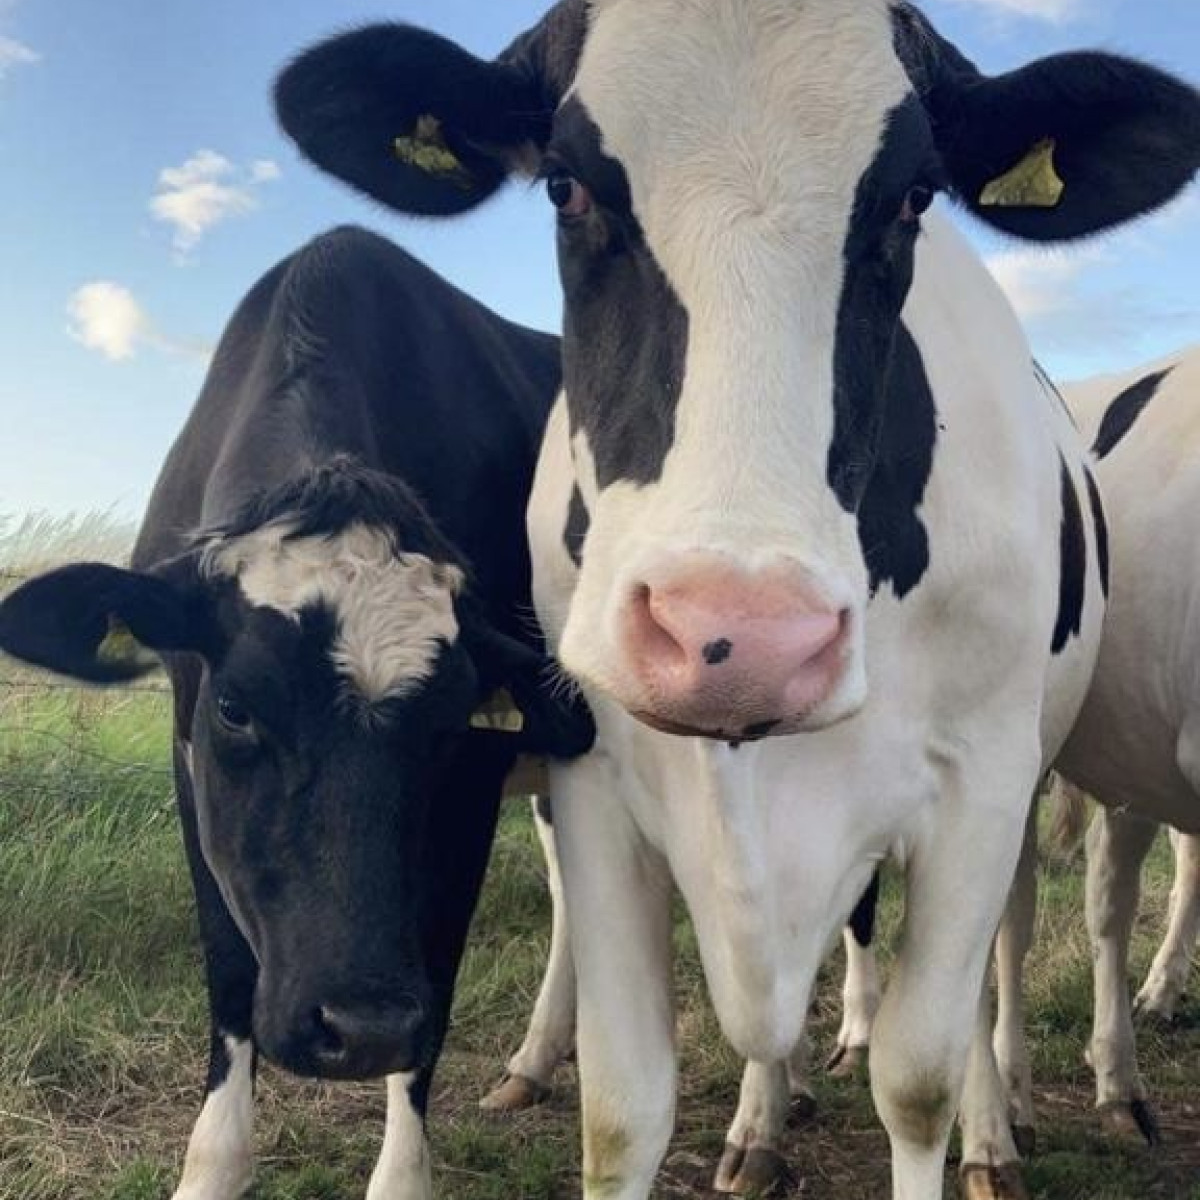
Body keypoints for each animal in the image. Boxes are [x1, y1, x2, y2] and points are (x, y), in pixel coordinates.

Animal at [0, 225, 594, 1200]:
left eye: (450, 723)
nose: (361, 1026)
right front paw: (211, 1168)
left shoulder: (469, 795)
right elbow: (227, 978)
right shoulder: (191, 768)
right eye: (236, 707)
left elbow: (435, 989)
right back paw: (533, 1064)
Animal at [273, 4, 1200, 1198]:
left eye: (914, 196)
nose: (742, 638)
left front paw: (959, 1117)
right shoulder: (593, 782)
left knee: (1032, 934)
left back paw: (1007, 1125)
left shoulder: (984, 788)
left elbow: (919, 1080)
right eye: (566, 185)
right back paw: (766, 1116)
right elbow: (623, 1109)